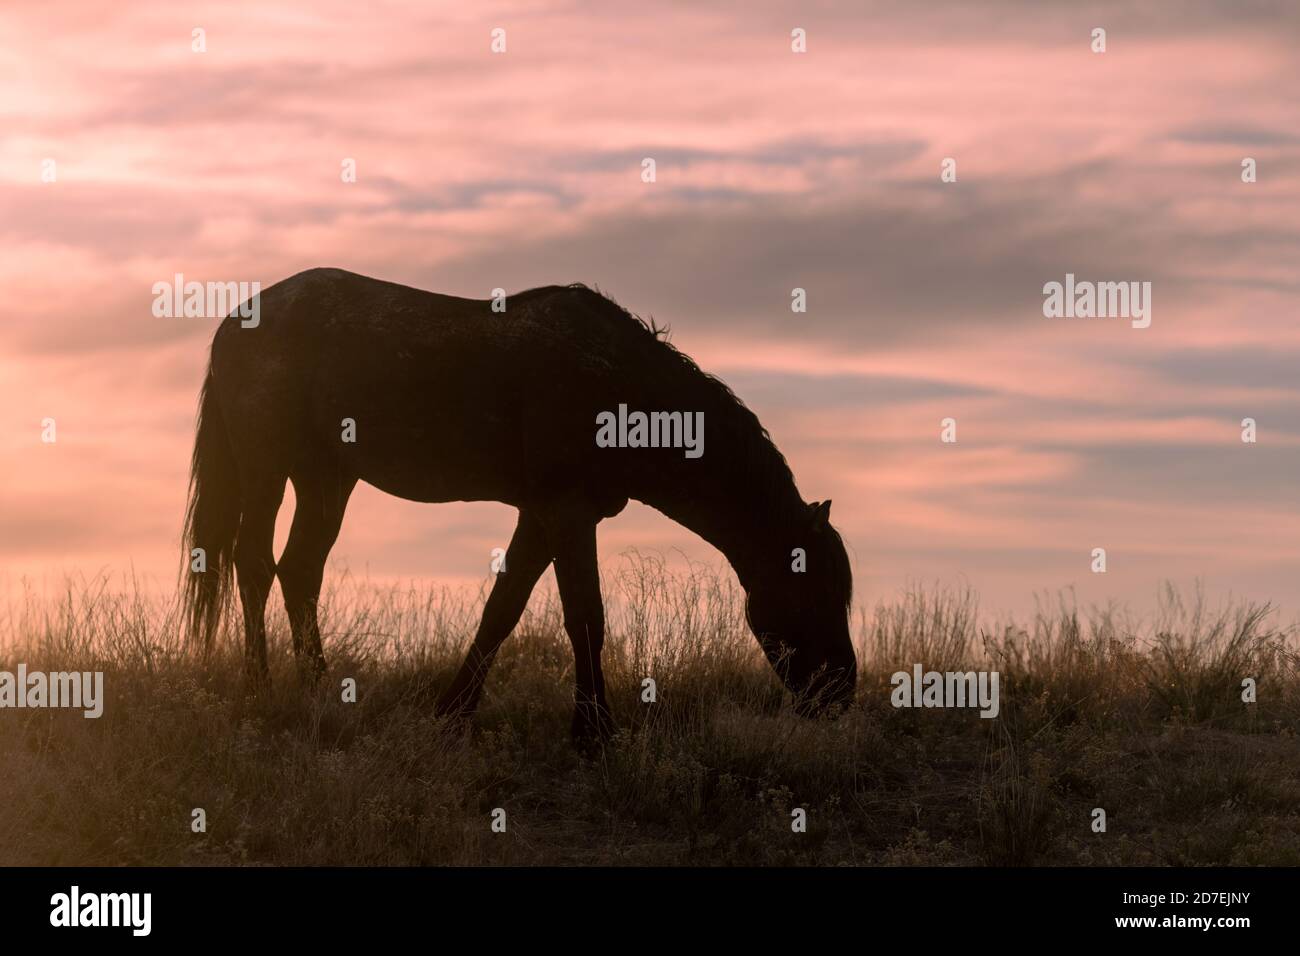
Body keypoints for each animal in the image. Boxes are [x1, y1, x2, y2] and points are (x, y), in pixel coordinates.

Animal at [182, 268, 856, 739]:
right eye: (816, 591)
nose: (841, 696)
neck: (620, 384)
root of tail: (236, 321)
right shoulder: (566, 512)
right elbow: (585, 617)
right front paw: (593, 733)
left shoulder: (540, 517)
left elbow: (501, 612)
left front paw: (453, 716)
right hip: (267, 469)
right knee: (253, 564)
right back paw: (261, 688)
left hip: (327, 480)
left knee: (299, 571)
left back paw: (320, 691)